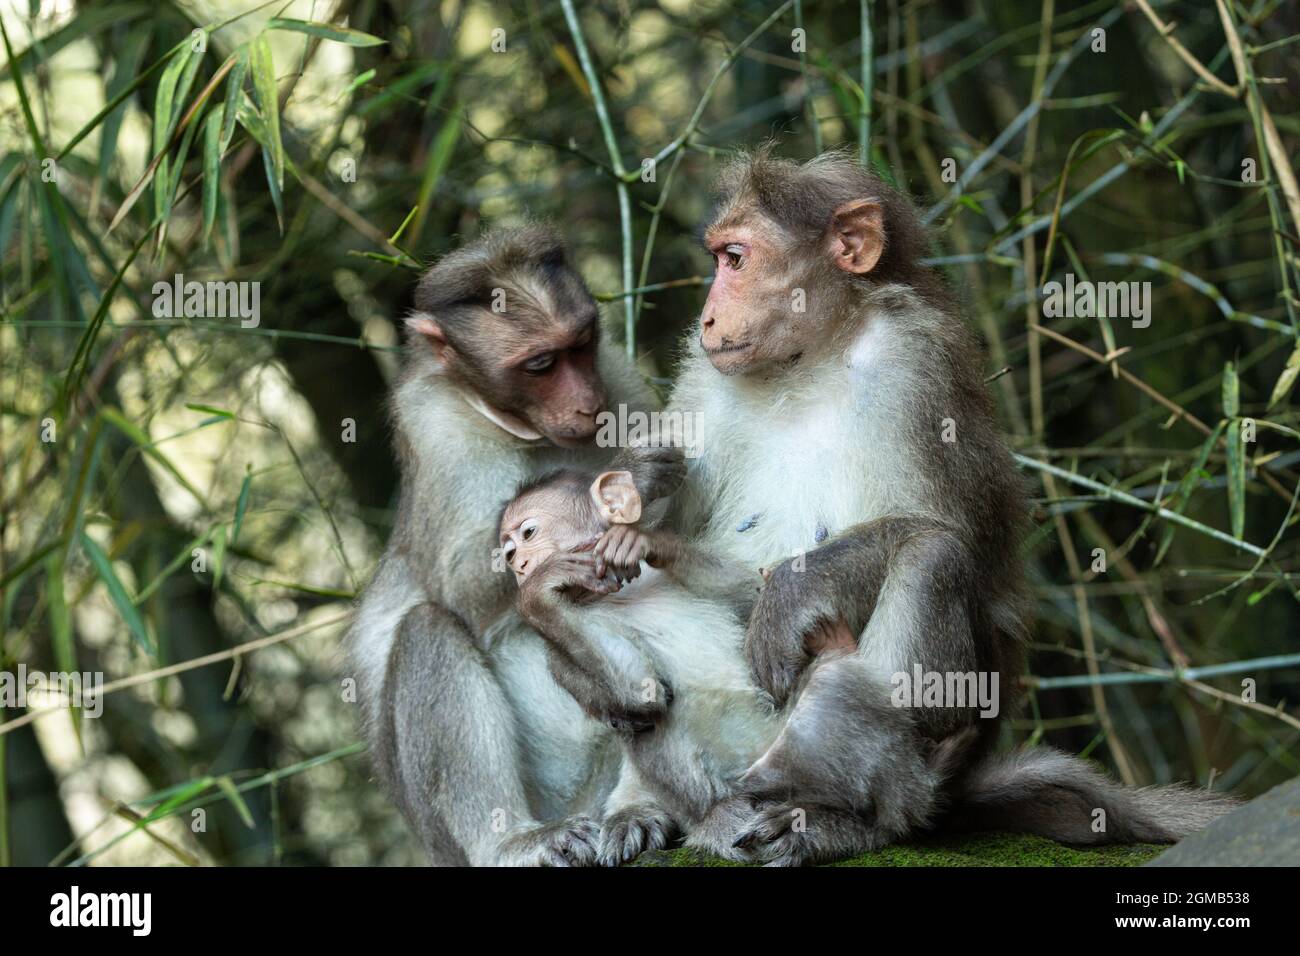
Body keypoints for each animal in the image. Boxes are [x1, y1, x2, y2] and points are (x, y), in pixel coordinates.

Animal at [345, 224, 684, 866]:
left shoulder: (615, 372)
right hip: (451, 836)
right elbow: (457, 588)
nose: (588, 401)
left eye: (581, 345)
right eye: (541, 364)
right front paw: (628, 479)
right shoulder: (432, 422)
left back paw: (638, 806)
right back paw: (510, 841)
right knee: (426, 630)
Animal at [621, 147, 1238, 865]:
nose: (709, 317)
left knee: (932, 558)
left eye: (737, 259)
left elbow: (947, 533)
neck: (811, 358)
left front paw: (791, 592)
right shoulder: (705, 375)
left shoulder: (915, 360)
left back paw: (849, 816)